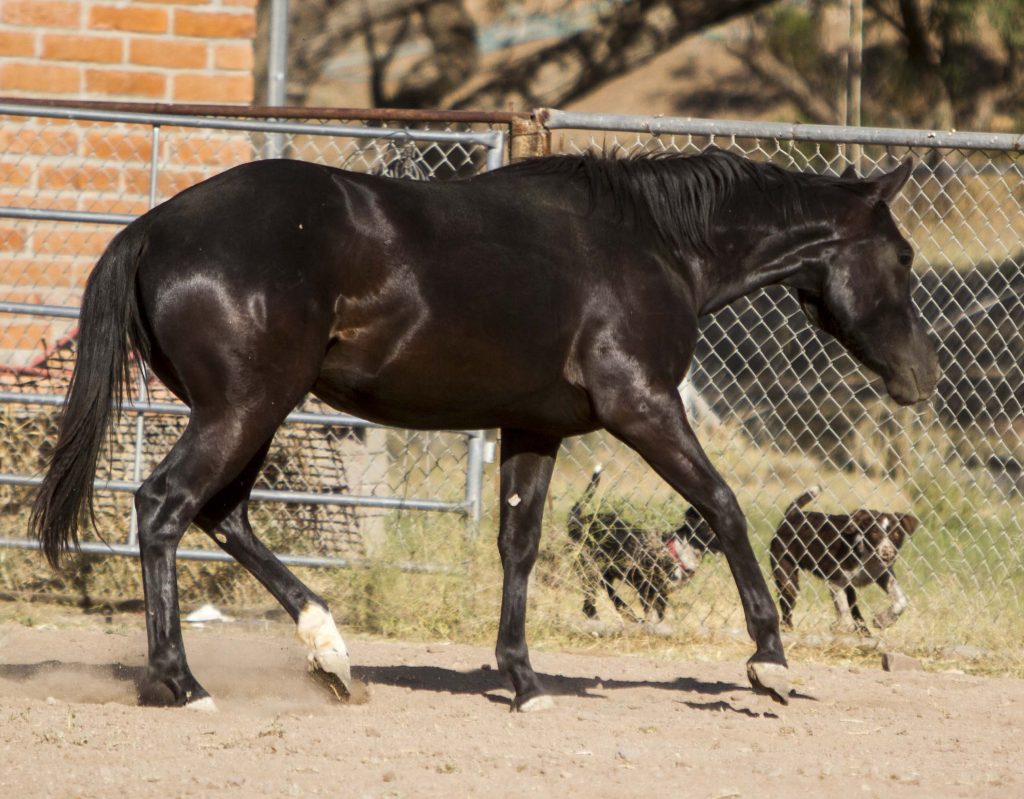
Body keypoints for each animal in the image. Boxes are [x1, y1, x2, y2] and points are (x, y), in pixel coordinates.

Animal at [30, 147, 940, 712]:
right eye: (903, 257)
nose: (922, 376)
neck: (655, 245)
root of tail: (153, 228)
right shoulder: (643, 406)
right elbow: (723, 504)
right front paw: (770, 662)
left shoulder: (533, 426)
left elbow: (519, 544)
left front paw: (524, 679)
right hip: (246, 406)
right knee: (165, 506)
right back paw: (182, 683)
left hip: (254, 410)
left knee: (224, 516)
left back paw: (332, 655)